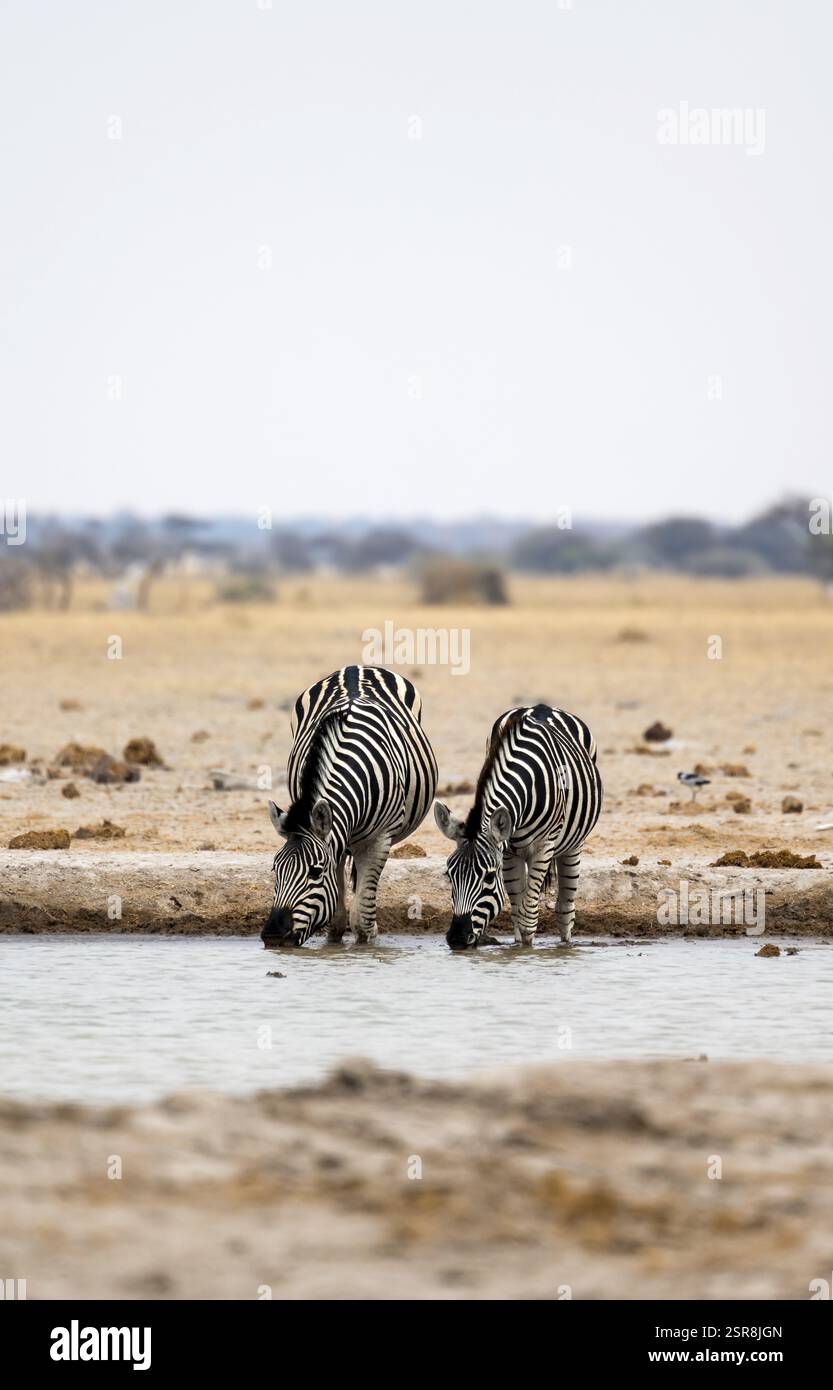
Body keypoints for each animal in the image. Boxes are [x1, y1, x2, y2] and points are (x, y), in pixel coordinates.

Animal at [263, 665, 438, 947]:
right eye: (275, 869)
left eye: (315, 872)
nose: (273, 936)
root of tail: (357, 668)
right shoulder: (336, 839)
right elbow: (336, 910)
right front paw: (333, 943)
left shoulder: (379, 840)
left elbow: (361, 918)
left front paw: (367, 942)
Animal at [434, 704, 602, 949]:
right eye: (449, 875)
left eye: (489, 878)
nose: (457, 938)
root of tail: (544, 706)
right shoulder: (508, 851)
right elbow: (516, 910)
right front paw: (516, 949)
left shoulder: (543, 847)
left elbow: (528, 916)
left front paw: (526, 951)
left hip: (573, 845)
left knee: (565, 909)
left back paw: (566, 945)